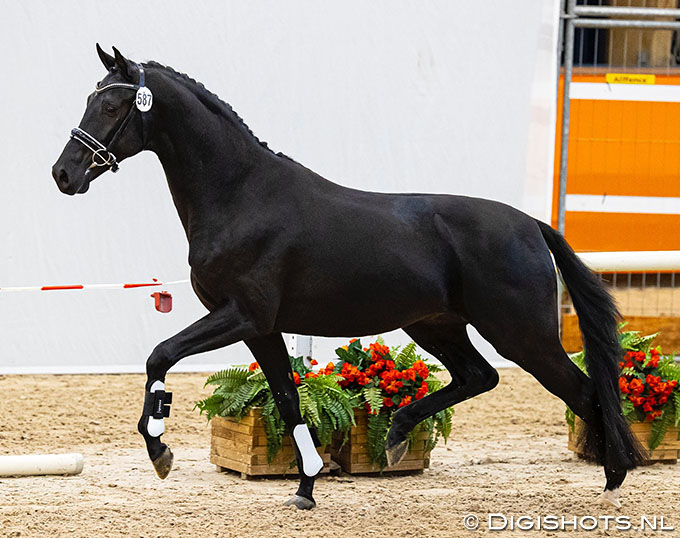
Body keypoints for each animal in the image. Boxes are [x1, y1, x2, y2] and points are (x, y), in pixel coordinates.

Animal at [52, 45, 643, 510]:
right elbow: (287, 400)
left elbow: (160, 355)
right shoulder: (260, 328)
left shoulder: (240, 315)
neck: (241, 194)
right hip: (436, 324)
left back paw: (614, 479)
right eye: (91, 99)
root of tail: (530, 224)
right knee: (479, 376)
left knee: (583, 390)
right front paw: (306, 487)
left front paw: (160, 449)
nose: (64, 173)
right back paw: (398, 435)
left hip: (522, 334)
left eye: (111, 104)